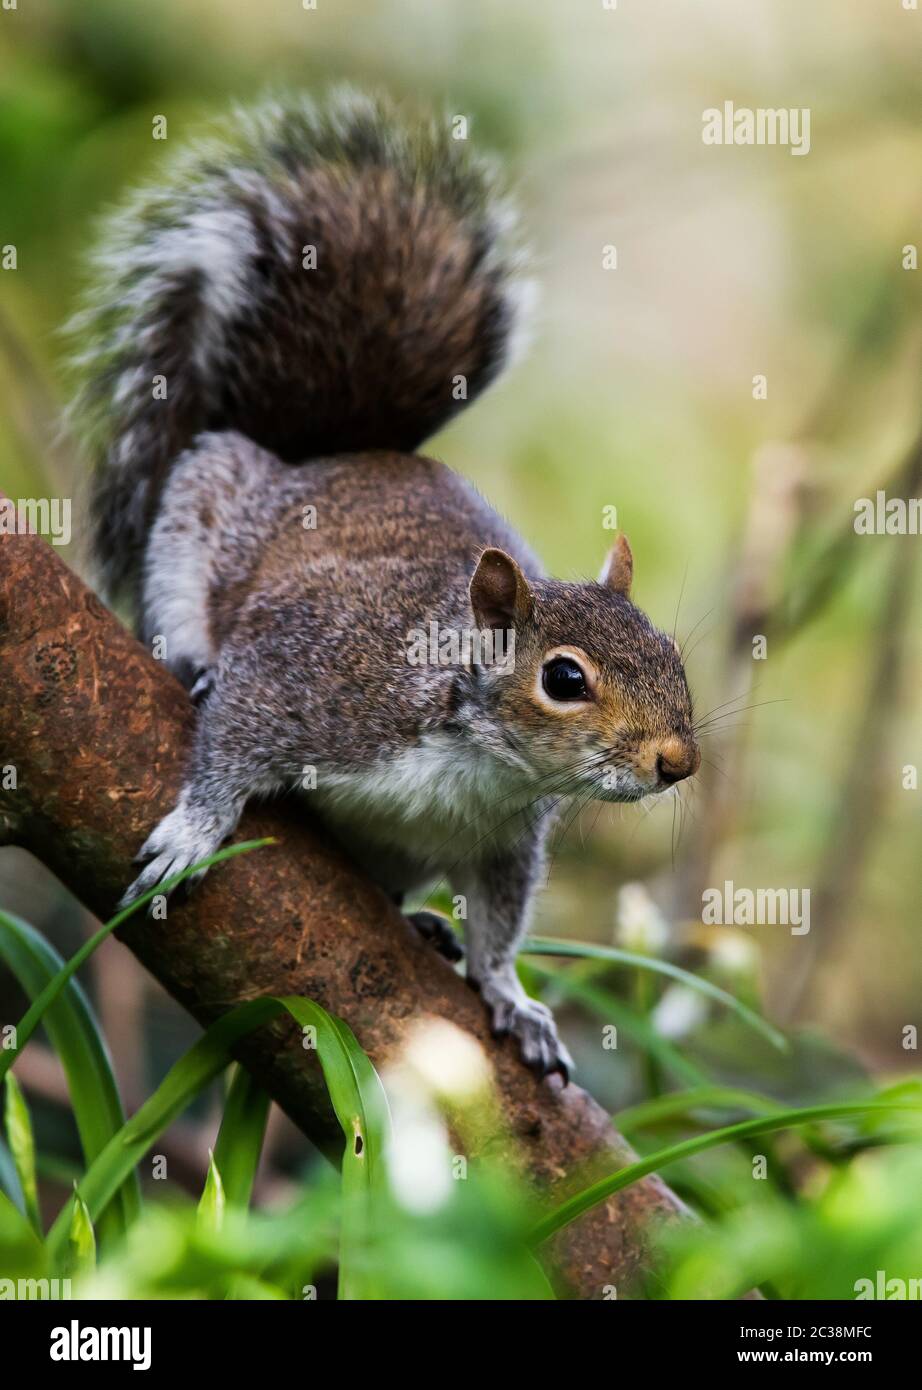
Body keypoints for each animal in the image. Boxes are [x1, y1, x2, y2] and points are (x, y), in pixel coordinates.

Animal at [71, 90, 700, 1082]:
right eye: (564, 678)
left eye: (672, 655)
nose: (678, 762)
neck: (476, 758)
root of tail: (326, 455)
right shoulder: (313, 680)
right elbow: (232, 740)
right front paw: (195, 832)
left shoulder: (508, 840)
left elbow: (500, 926)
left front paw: (512, 997)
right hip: (197, 512)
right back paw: (190, 657)